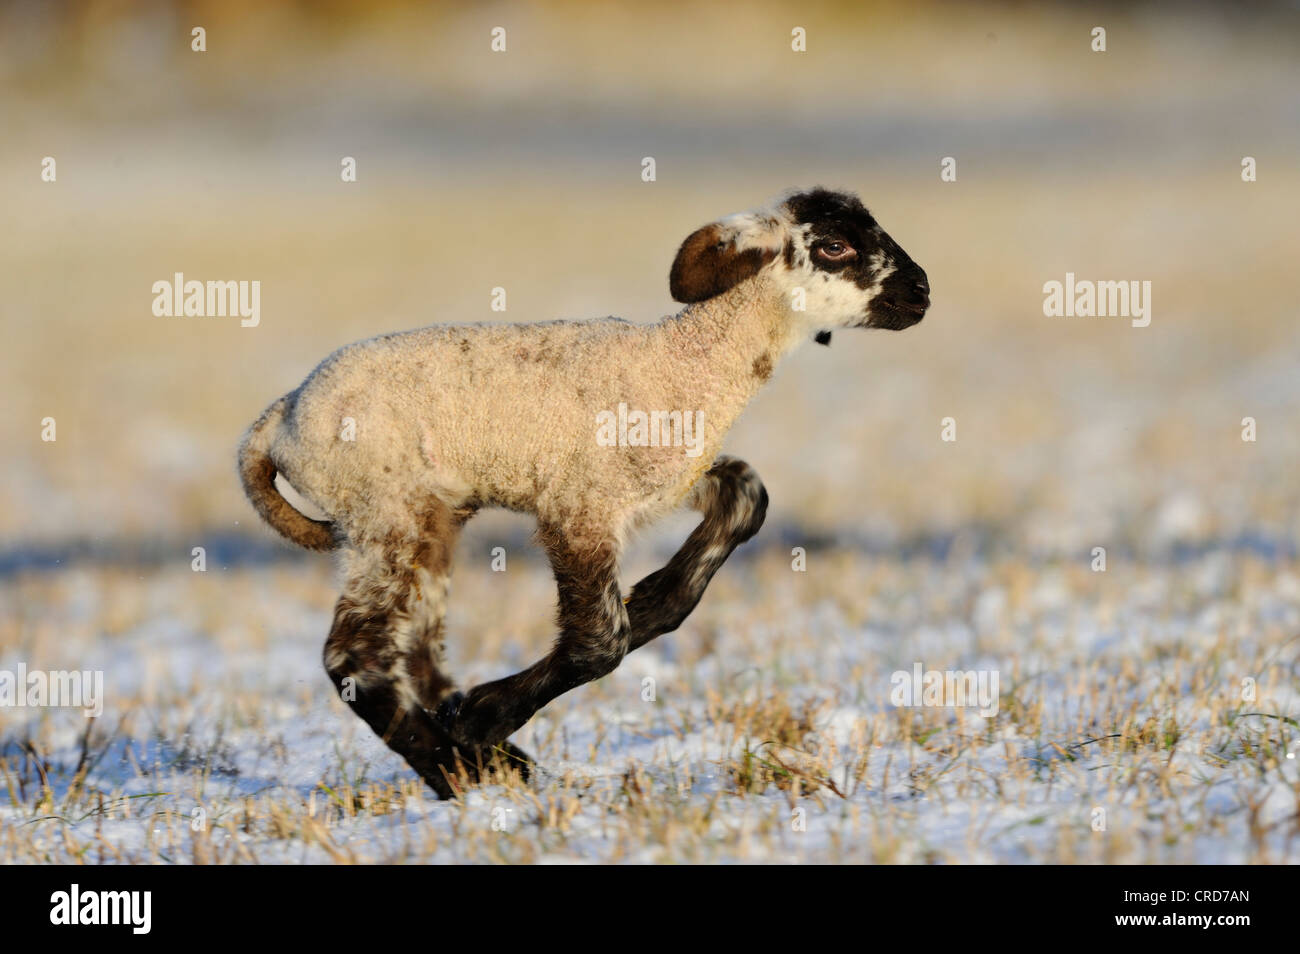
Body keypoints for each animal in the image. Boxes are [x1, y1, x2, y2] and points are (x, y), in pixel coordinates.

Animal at [237, 187, 930, 797]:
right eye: (836, 245)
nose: (922, 290)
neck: (686, 363)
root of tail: (278, 418)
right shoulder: (579, 505)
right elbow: (600, 644)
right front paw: (483, 715)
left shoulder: (663, 483)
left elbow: (745, 503)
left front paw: (649, 599)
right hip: (384, 511)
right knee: (353, 659)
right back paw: (464, 768)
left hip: (427, 518)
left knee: (415, 651)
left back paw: (491, 761)